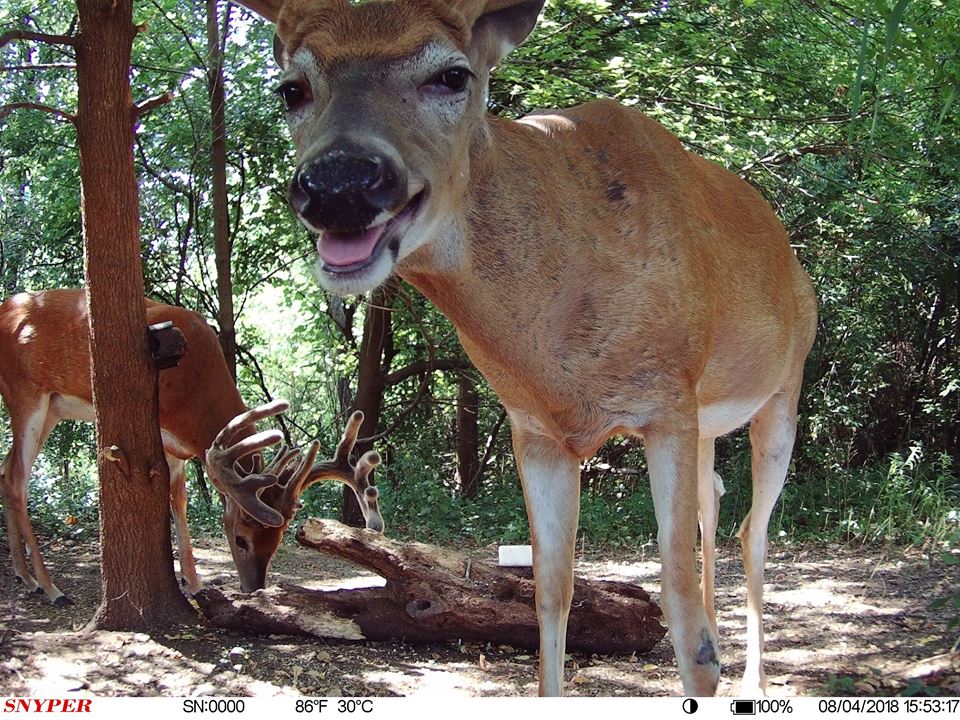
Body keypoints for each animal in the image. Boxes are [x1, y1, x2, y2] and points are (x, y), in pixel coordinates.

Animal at [0, 288, 384, 606]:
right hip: (26, 393)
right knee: (17, 479)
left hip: (52, 408)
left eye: (277, 542)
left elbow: (180, 501)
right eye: (240, 539)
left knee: (5, 470)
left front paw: (195, 584)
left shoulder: (179, 446)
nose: (254, 588)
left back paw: (24, 577)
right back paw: (50, 587)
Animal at [233, 0, 818, 697]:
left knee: (753, 530)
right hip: (708, 420)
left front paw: (708, 662)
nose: (338, 184)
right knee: (715, 500)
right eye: (290, 88)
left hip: (782, 388)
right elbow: (550, 592)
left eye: (453, 75)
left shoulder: (667, 402)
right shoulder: (533, 428)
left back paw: (752, 679)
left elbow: (679, 613)